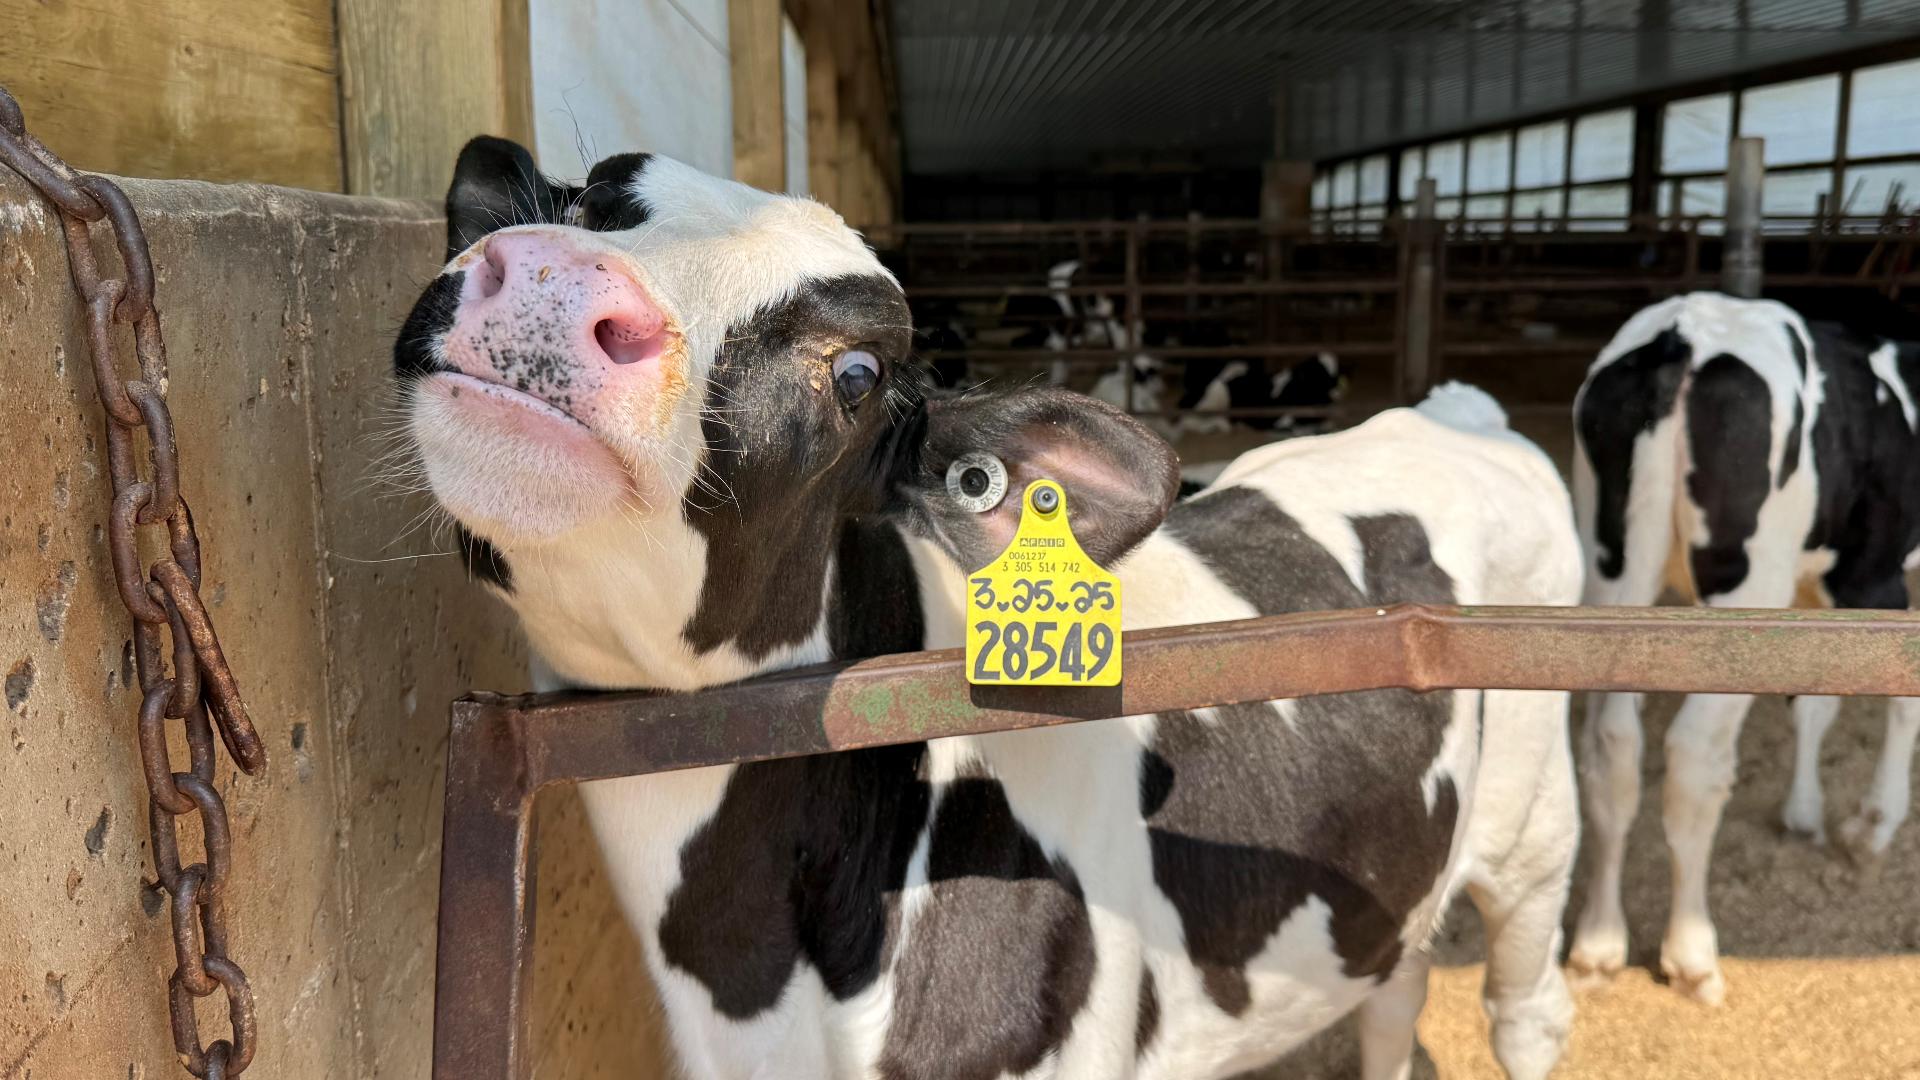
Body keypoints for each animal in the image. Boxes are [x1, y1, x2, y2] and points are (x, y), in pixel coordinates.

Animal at [394, 136, 1583, 1080]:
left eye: (860, 373)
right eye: (582, 200)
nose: (553, 280)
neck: (759, 980)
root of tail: (1452, 411)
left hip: (1533, 835)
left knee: (1526, 1010)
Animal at [1568, 291, 1920, 1006]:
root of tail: (1686, 332)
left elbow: (1813, 704)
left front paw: (1804, 813)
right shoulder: (1873, 576)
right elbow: (1900, 702)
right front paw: (1872, 827)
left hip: (1613, 571)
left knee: (1610, 746)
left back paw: (1597, 945)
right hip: (1742, 591)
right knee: (1693, 755)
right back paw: (1691, 953)